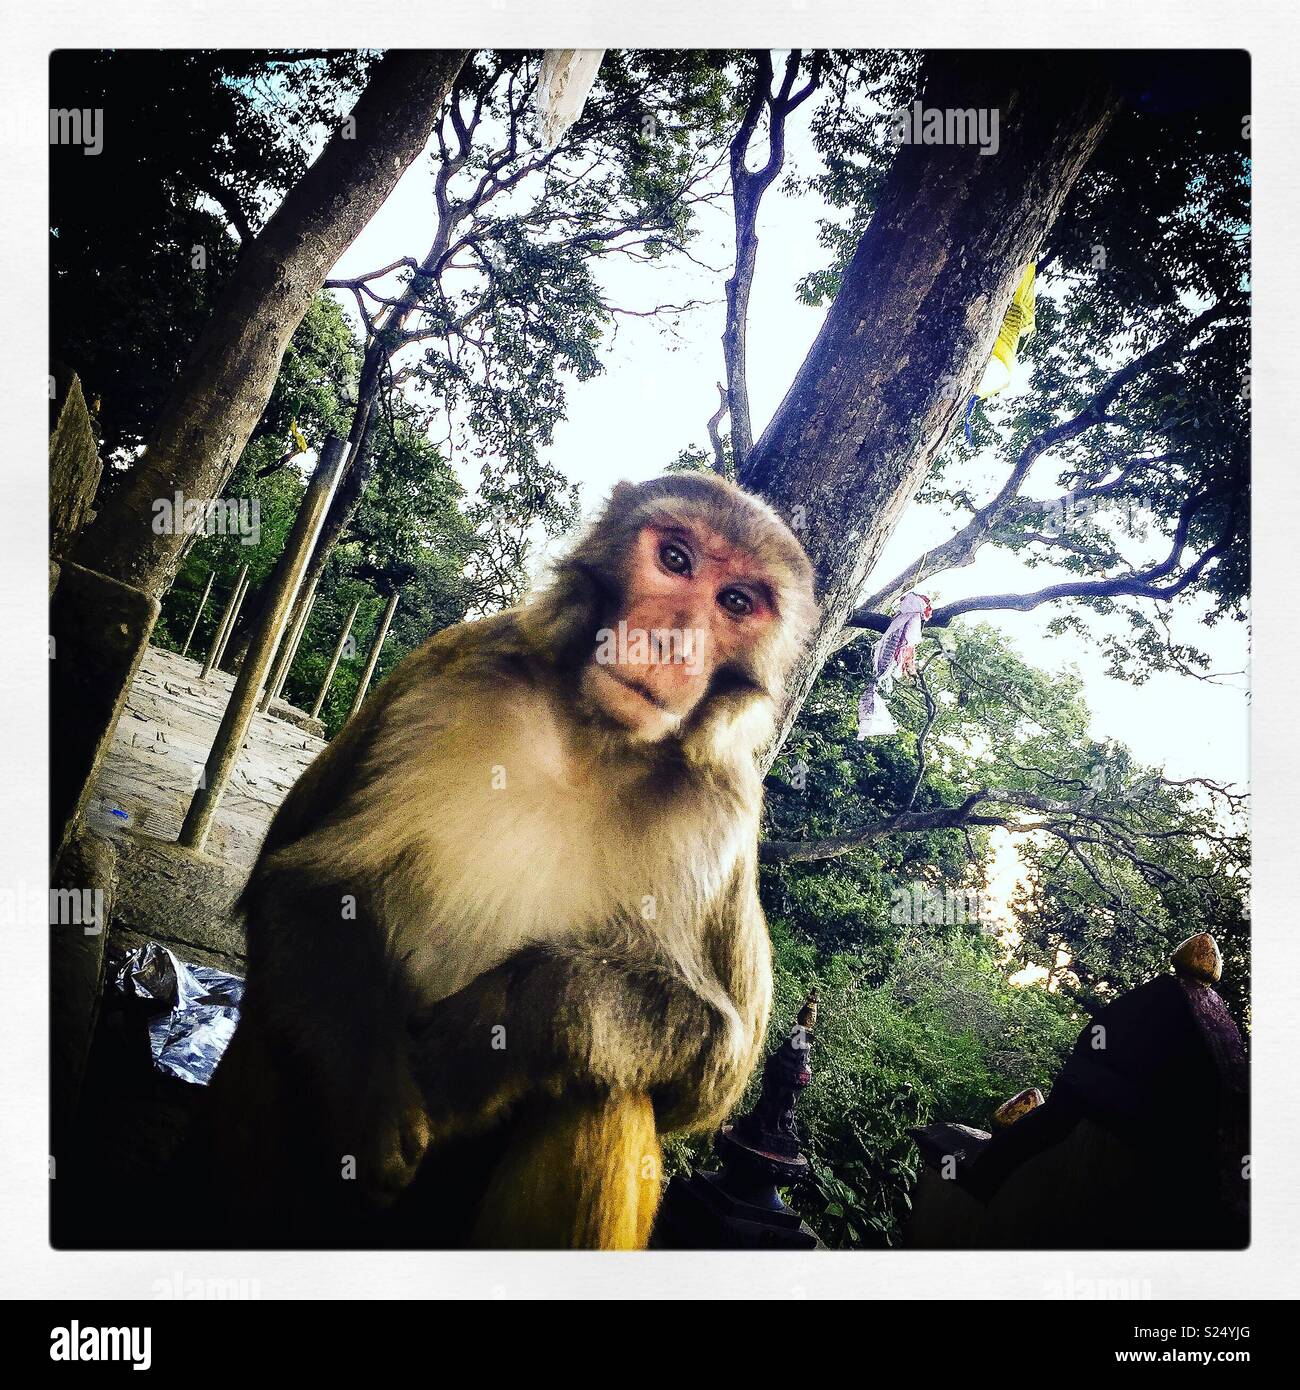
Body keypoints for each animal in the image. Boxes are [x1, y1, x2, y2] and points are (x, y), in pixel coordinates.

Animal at [199, 472, 817, 1248]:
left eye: (736, 602)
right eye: (675, 559)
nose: (672, 640)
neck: (591, 740)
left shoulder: (724, 812)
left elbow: (715, 1064)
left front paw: (501, 1026)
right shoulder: (456, 676)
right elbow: (307, 886)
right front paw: (371, 1097)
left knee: (603, 1093)